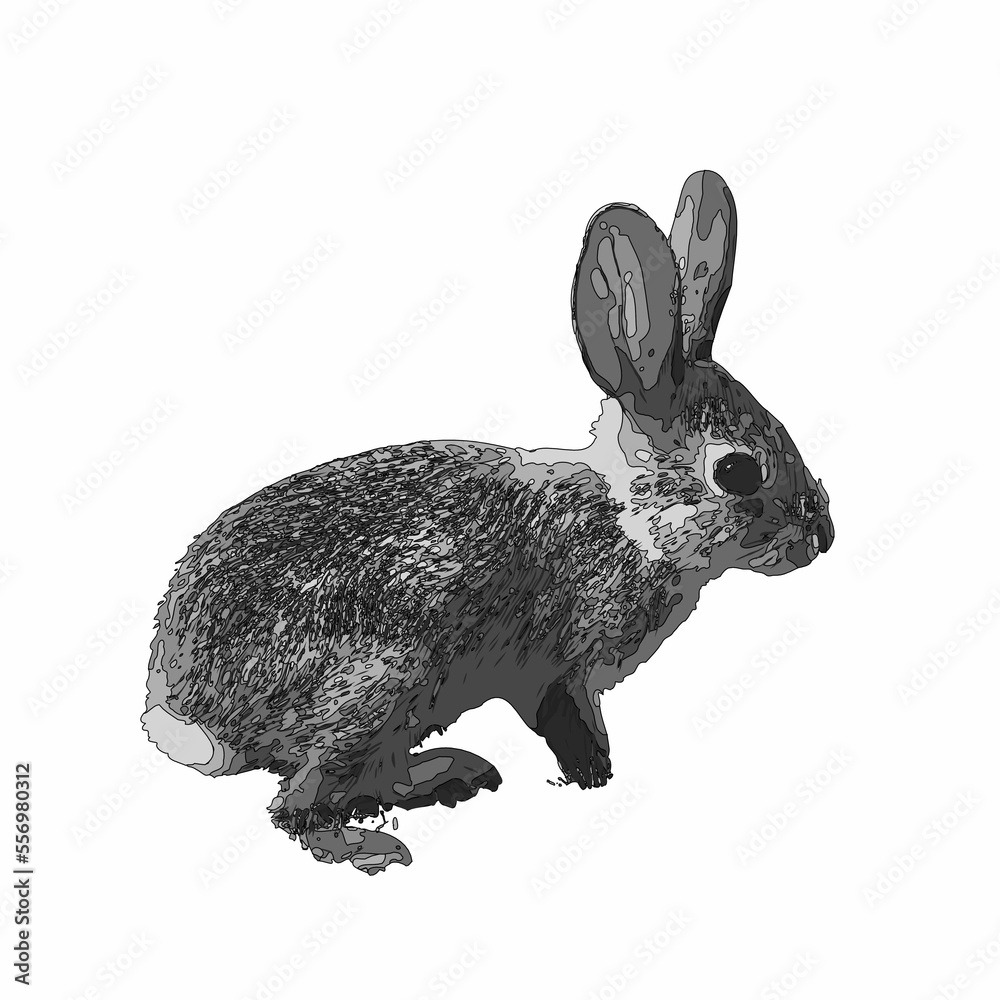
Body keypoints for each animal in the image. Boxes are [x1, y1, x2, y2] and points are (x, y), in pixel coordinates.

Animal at [142, 169, 833, 874]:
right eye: (737, 472)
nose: (821, 537)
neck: (629, 520)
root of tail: (187, 709)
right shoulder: (557, 670)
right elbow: (574, 728)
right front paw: (596, 783)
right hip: (381, 684)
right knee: (297, 802)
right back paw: (369, 846)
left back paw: (446, 775)